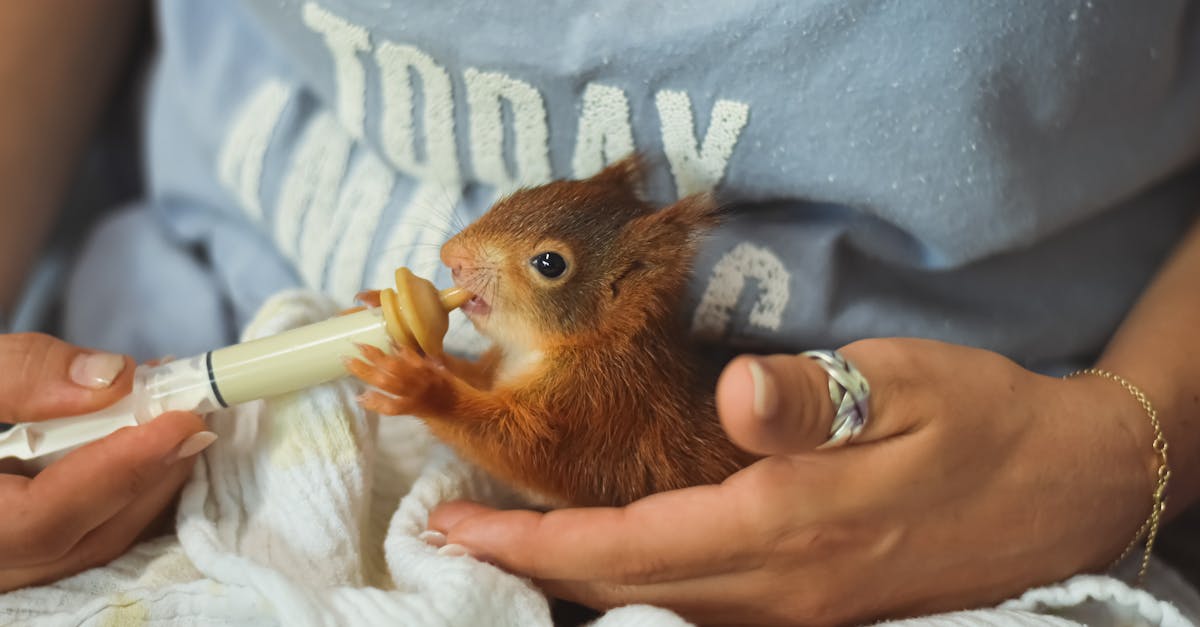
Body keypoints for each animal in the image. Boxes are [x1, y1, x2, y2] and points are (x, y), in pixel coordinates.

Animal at [348, 156, 758, 506]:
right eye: (525, 193)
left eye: (550, 263)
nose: (452, 257)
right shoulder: (501, 370)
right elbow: (473, 377)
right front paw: (387, 315)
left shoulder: (596, 406)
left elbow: (518, 449)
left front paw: (420, 389)